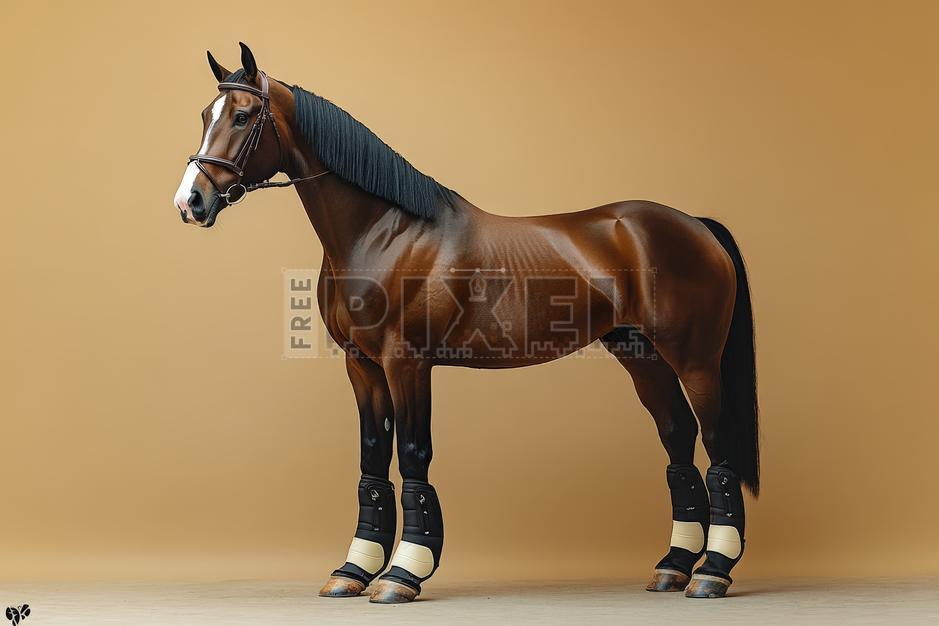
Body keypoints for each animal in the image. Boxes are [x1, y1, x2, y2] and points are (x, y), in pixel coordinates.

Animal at [174, 43, 759, 603]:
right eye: (205, 113)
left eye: (244, 115)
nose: (190, 201)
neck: (384, 231)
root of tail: (694, 225)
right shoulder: (361, 364)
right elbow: (372, 456)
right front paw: (353, 571)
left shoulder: (407, 362)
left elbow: (413, 456)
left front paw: (403, 574)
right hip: (640, 355)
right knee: (678, 439)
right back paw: (674, 567)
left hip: (696, 360)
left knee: (717, 446)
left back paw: (712, 572)